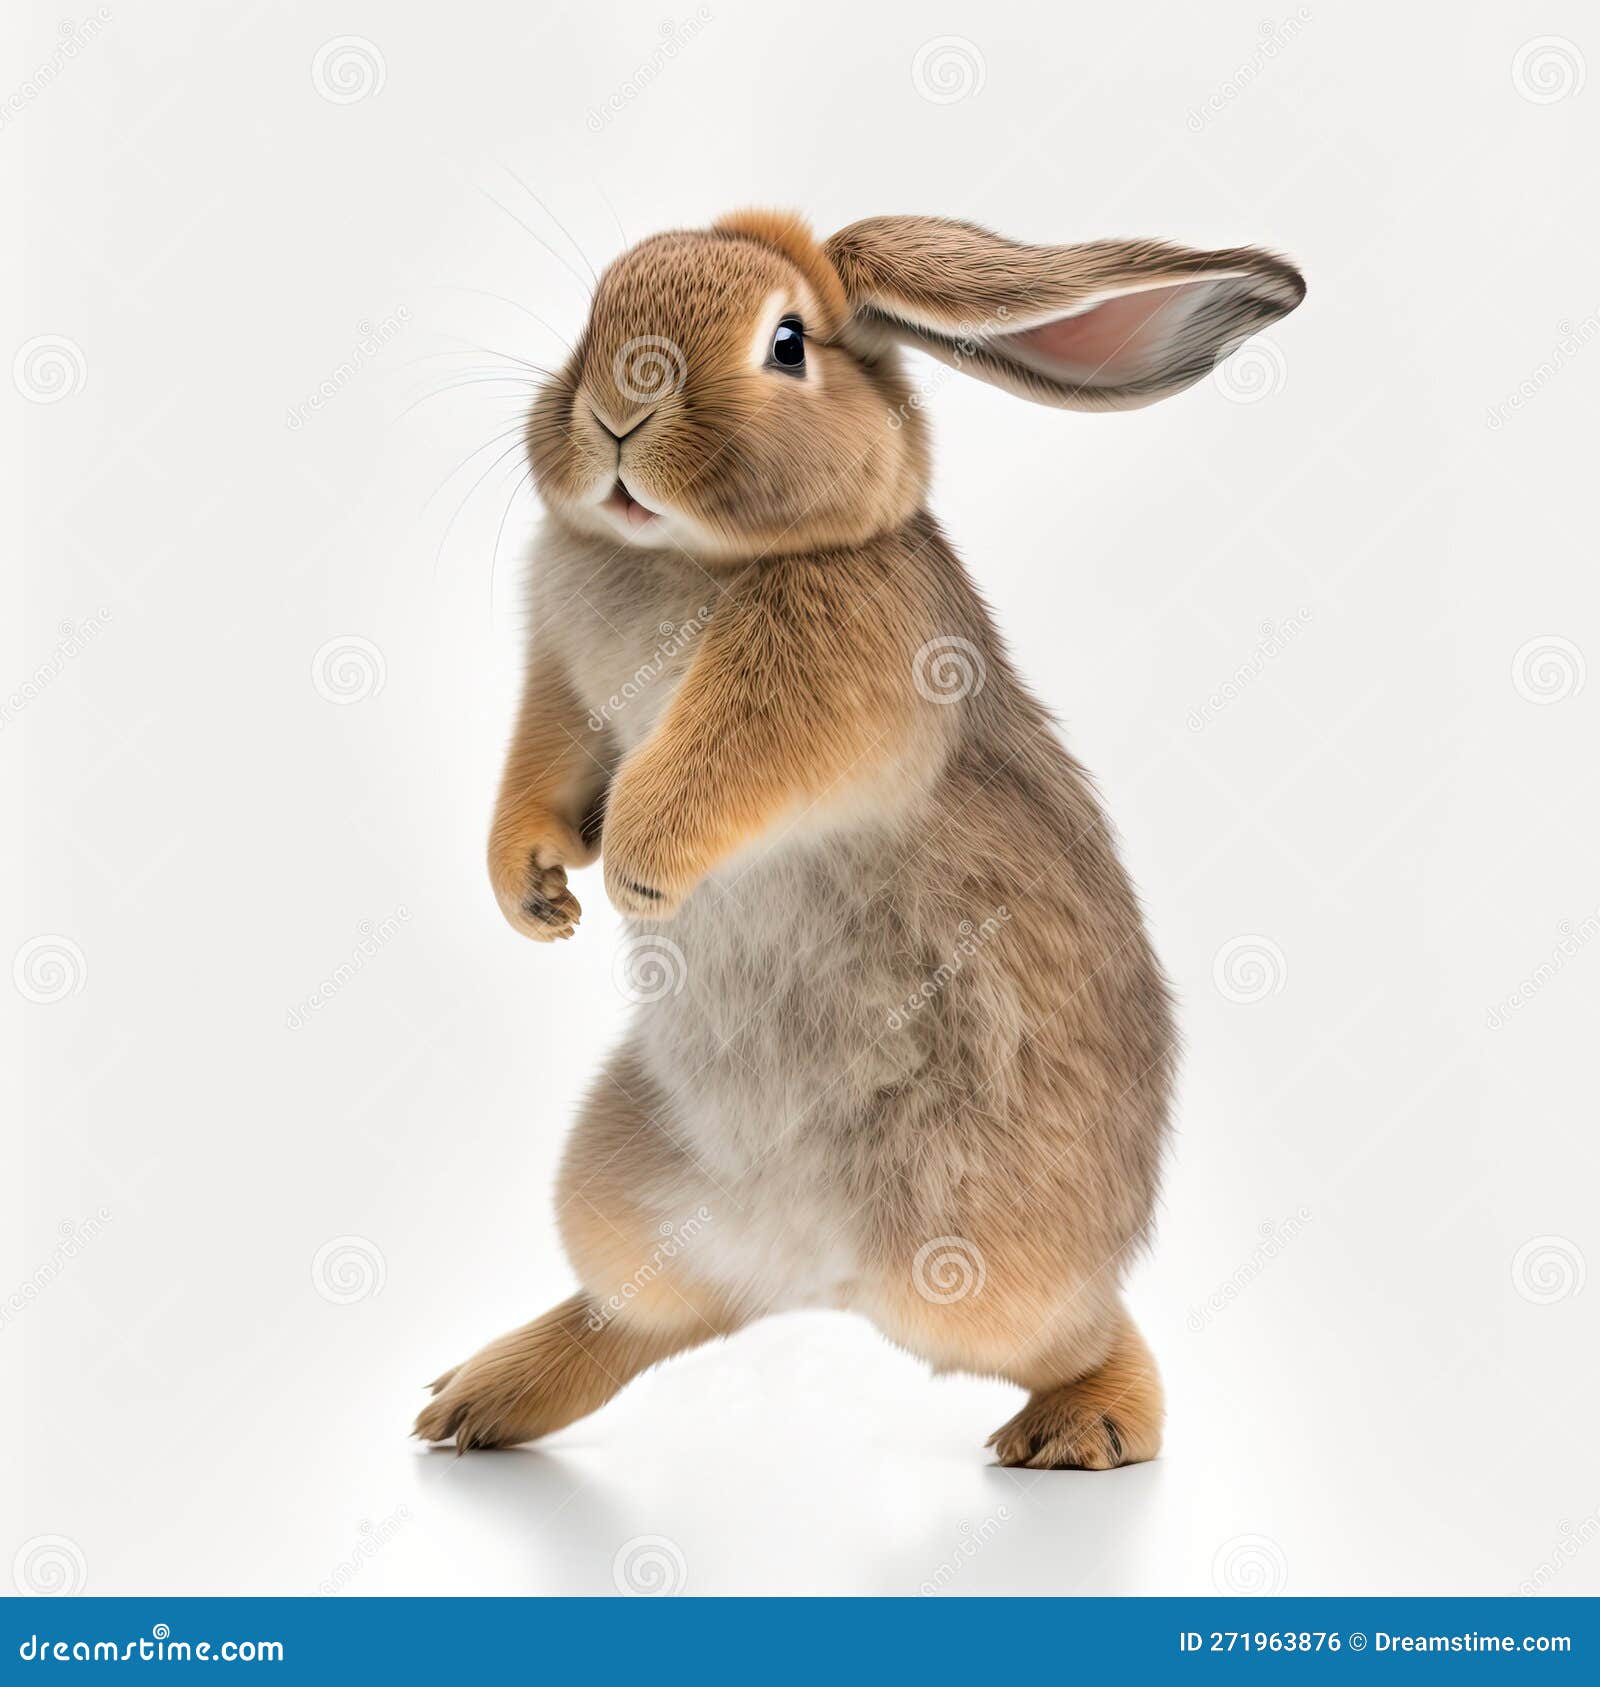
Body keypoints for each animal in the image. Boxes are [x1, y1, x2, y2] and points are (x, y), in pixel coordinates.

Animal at [414, 210, 1304, 1467]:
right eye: (598, 306)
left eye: (787, 343)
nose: (617, 416)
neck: (679, 555)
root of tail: (805, 1274)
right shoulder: (561, 695)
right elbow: (535, 782)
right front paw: (536, 894)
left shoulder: (821, 679)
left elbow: (706, 771)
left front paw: (638, 871)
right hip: (615, 1178)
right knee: (645, 1312)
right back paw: (478, 1400)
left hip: (973, 1268)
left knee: (1086, 1331)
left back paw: (1083, 1428)